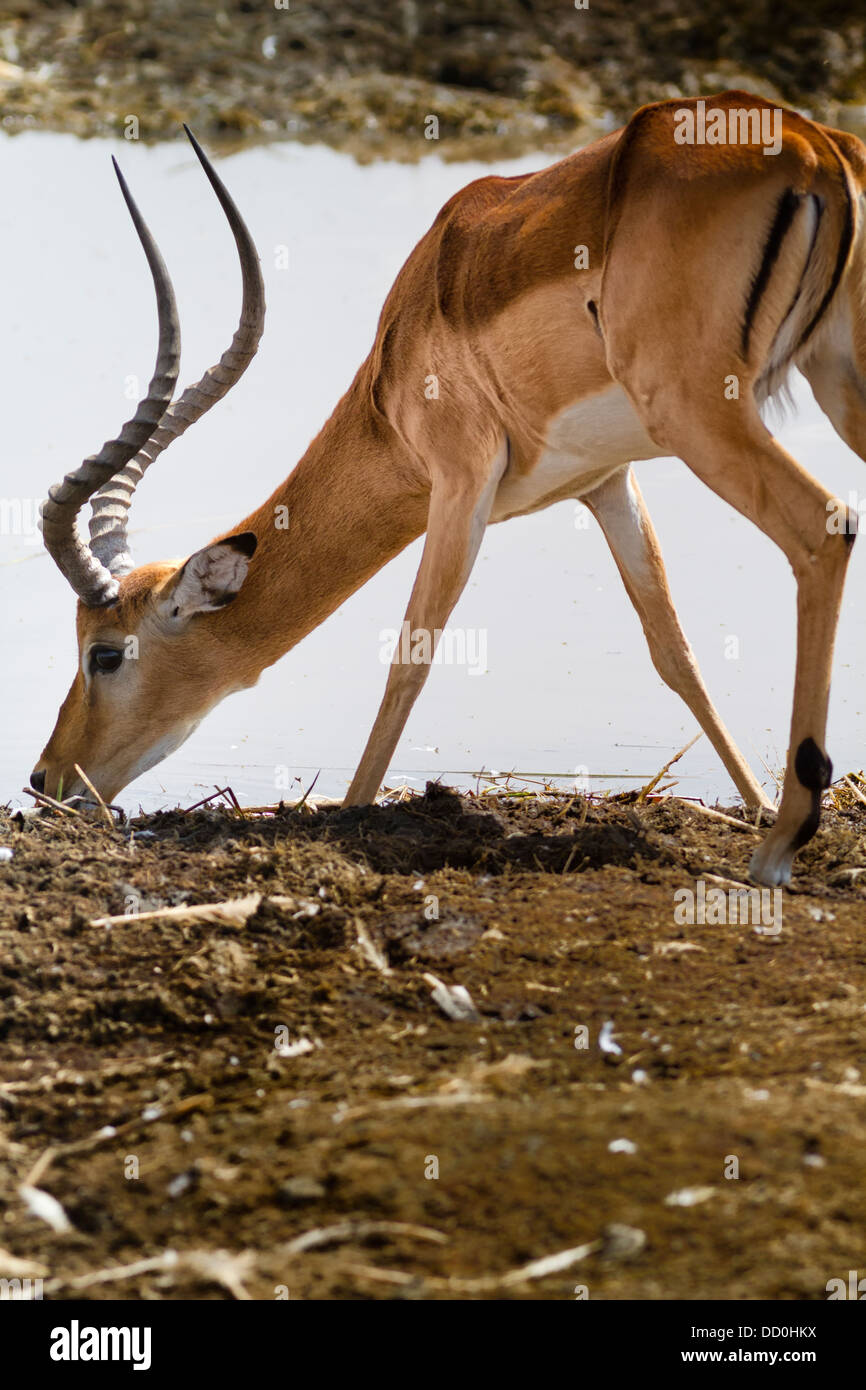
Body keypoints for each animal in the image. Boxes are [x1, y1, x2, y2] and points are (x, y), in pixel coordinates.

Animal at [32, 95, 866, 887]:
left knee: (825, 526)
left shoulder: (460, 483)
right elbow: (674, 649)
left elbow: (411, 655)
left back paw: (781, 848)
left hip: (703, 414)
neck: (396, 364)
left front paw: (350, 814)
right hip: (835, 382)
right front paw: (751, 802)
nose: (45, 782)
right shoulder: (606, 484)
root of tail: (814, 149)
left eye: (104, 655)